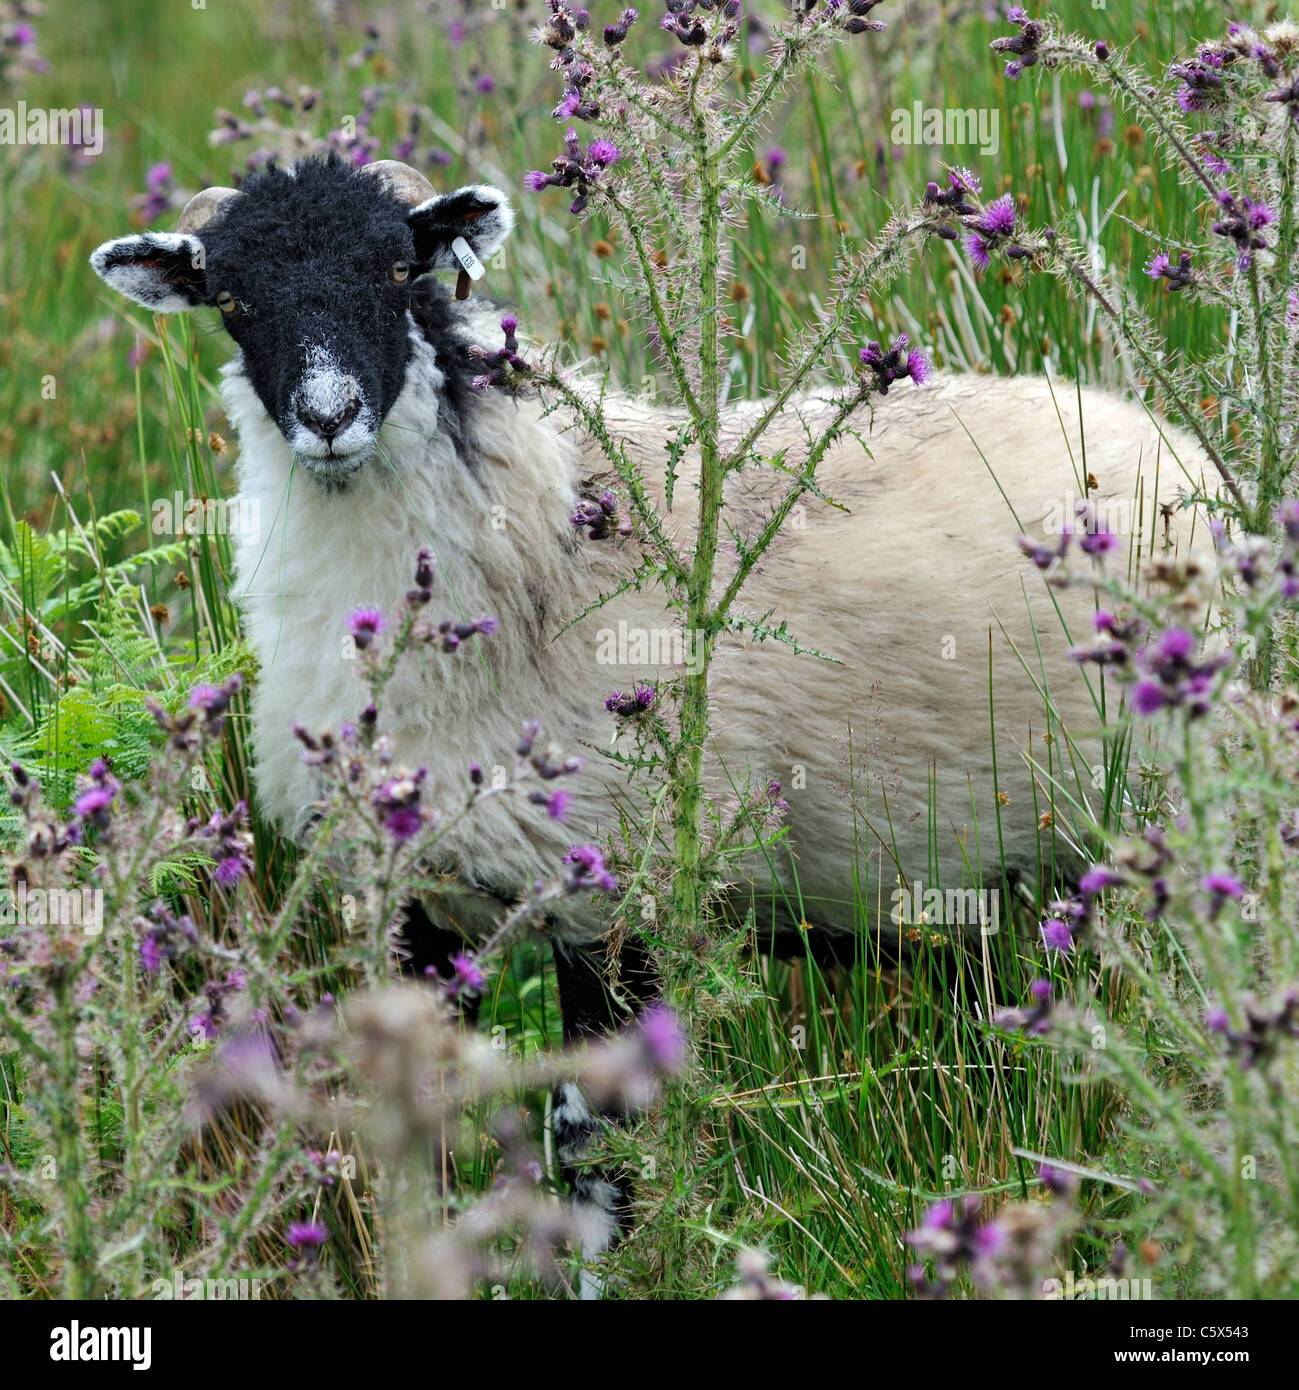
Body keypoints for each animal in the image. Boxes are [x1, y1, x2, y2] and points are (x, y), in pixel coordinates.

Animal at [91, 153, 1214, 1279]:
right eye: (233, 298)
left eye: (400, 269)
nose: (329, 417)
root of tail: (1165, 440)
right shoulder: (412, 909)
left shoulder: (609, 897)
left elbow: (595, 1148)